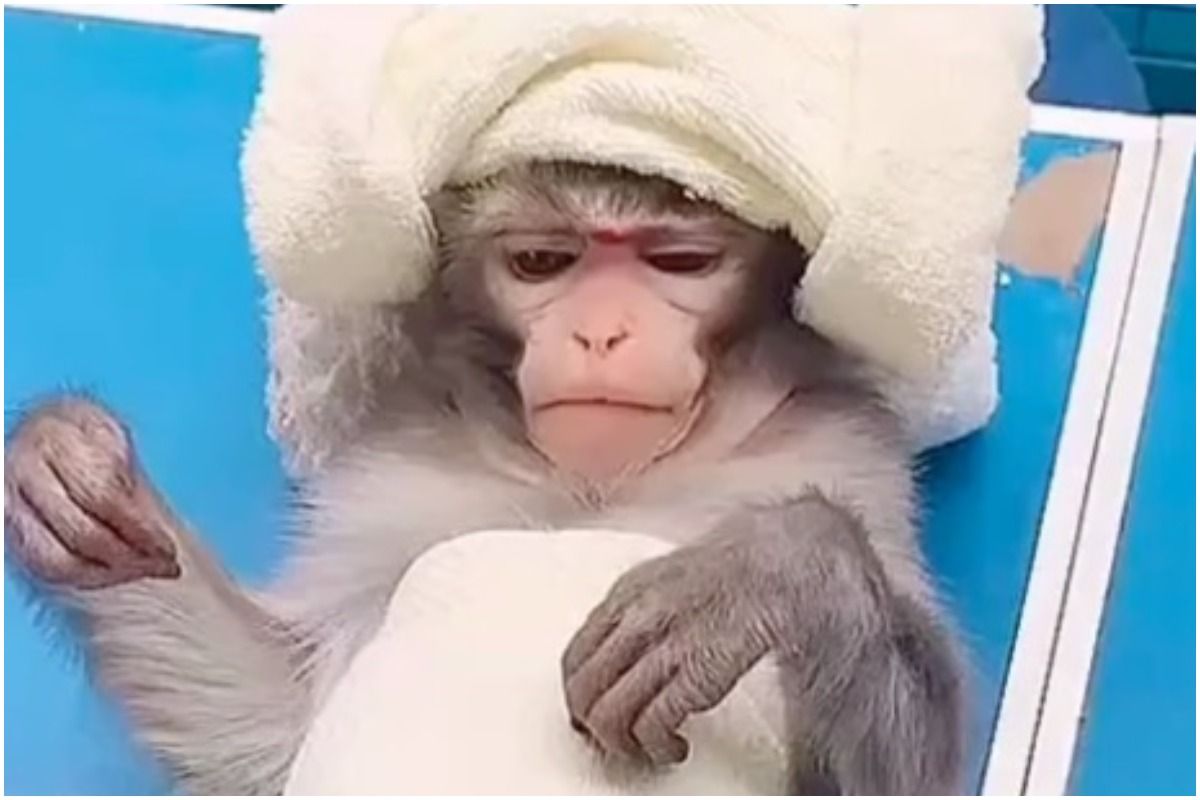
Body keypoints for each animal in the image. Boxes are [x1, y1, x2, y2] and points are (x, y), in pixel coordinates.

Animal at [4, 161, 965, 795]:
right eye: (543, 261)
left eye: (679, 262)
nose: (601, 334)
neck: (590, 490)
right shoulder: (397, 474)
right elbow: (267, 719)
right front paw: (59, 465)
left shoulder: (843, 448)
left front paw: (773, 573)